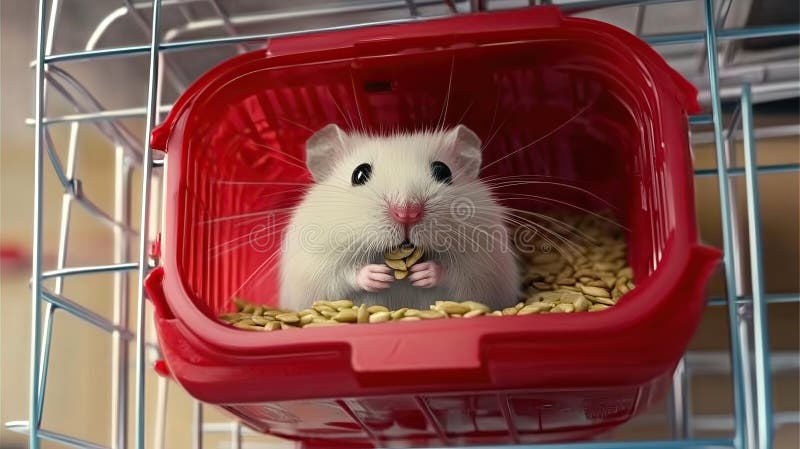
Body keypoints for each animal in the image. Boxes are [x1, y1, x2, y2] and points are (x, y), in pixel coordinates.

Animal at [278, 124, 520, 311]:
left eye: (443, 171)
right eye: (359, 174)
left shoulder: (485, 268)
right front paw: (379, 276)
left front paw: (424, 273)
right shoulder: (314, 266)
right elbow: (342, 275)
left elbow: (458, 274)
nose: (407, 212)